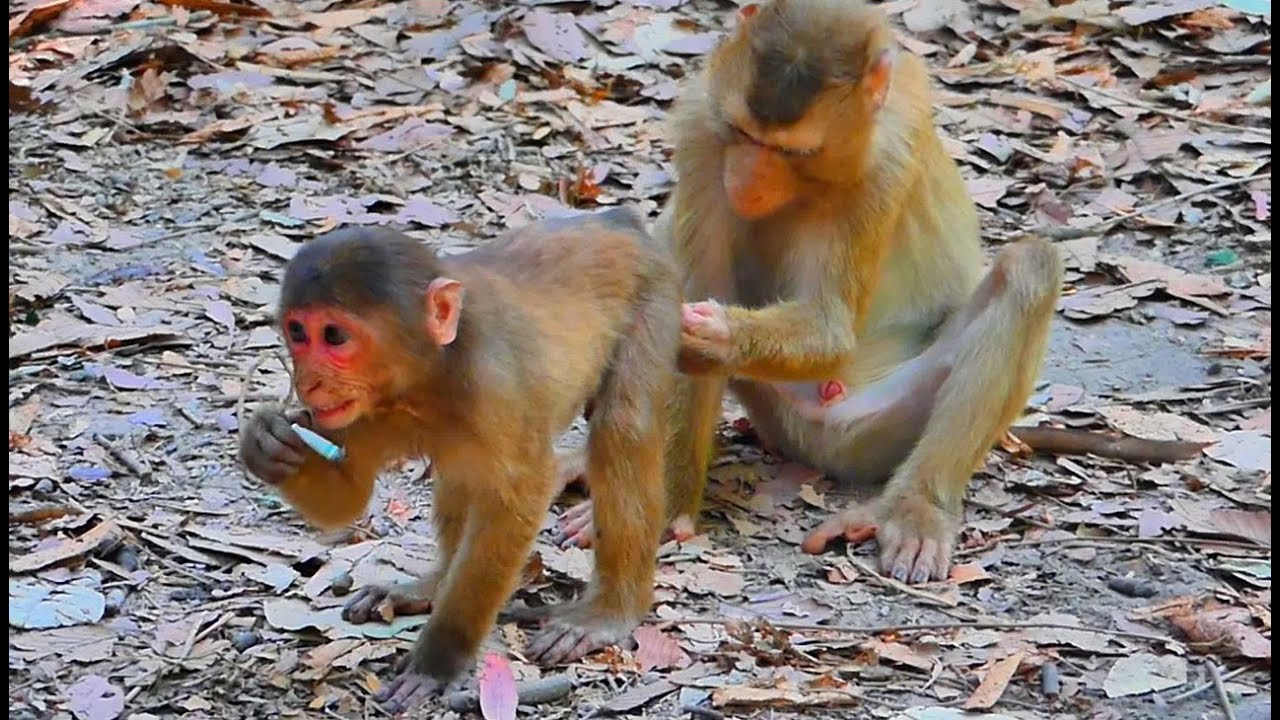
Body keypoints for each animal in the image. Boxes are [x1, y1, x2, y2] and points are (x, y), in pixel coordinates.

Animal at [238, 210, 680, 712]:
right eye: (297, 332)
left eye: (333, 336)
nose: (308, 381)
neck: (426, 379)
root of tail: (614, 219)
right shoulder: (353, 410)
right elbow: (346, 499)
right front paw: (268, 443)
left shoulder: (495, 384)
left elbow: (518, 501)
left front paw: (439, 660)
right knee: (463, 466)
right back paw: (430, 587)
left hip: (655, 295)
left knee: (623, 426)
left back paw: (609, 612)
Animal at [556, 0, 1064, 585]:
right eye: (744, 134)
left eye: (792, 150)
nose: (746, 182)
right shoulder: (704, 129)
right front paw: (659, 506)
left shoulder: (881, 165)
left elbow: (830, 325)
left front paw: (714, 337)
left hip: (874, 428)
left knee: (1030, 267)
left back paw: (913, 508)